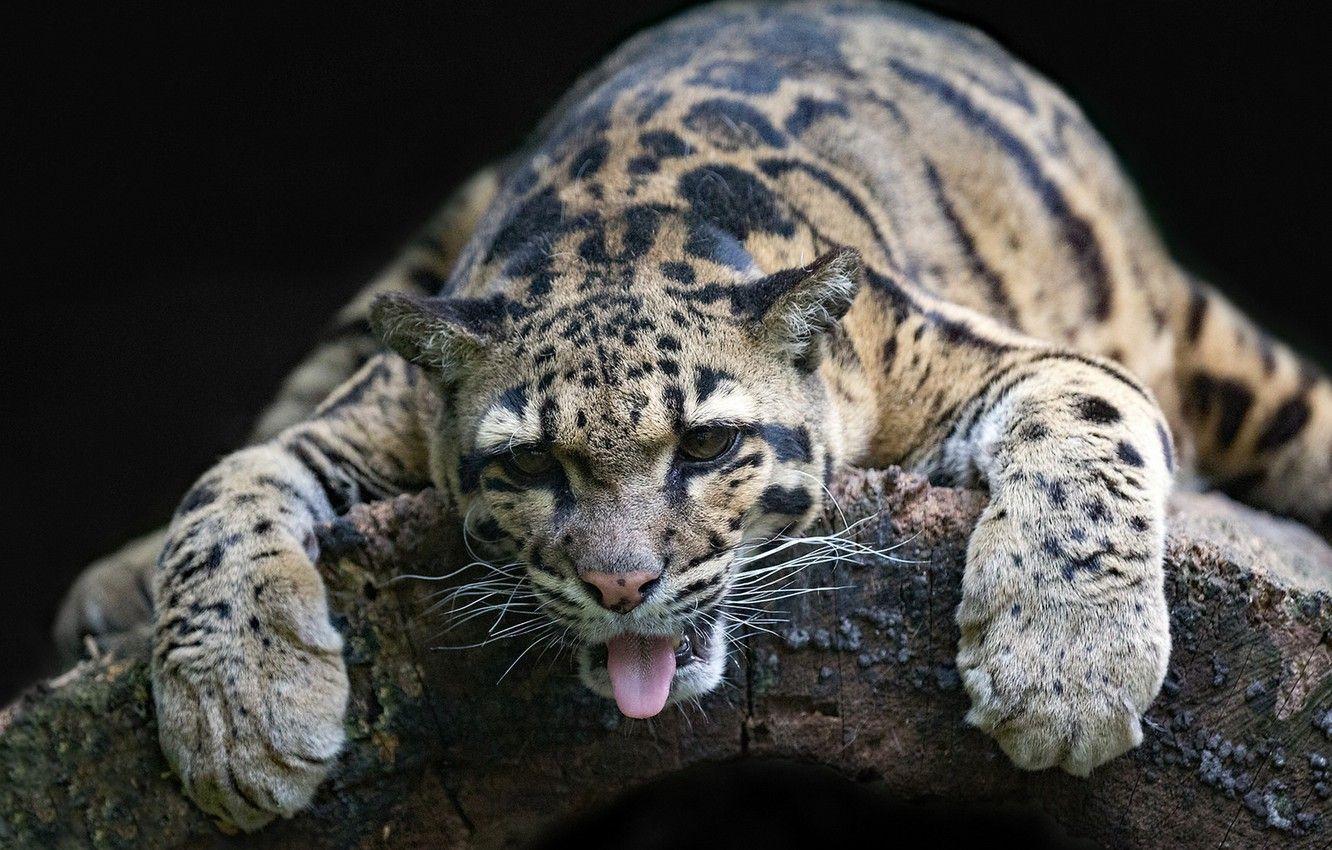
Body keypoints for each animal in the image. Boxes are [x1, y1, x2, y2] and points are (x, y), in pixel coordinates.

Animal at [54, 0, 1332, 831]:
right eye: (530, 466)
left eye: (709, 445)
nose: (623, 585)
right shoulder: (382, 406)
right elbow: (225, 486)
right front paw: (237, 718)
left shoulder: (983, 349)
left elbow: (1087, 429)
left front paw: (1064, 676)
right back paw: (107, 593)